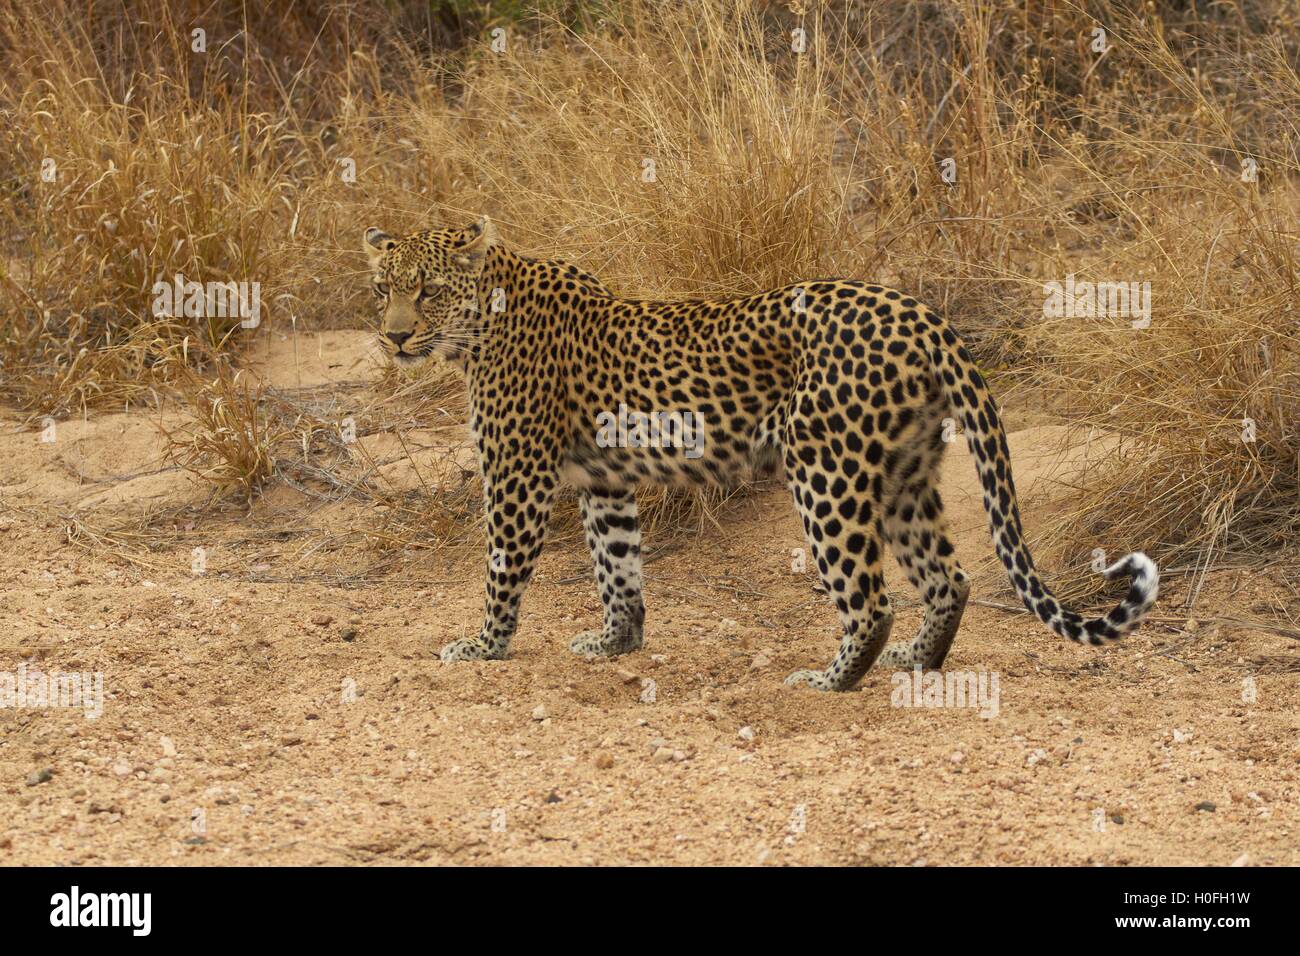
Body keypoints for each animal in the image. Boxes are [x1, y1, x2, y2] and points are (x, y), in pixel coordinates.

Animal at [363, 216, 1159, 691]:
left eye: (426, 292)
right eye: (380, 291)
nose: (393, 338)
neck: (483, 319)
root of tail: (921, 312)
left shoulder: (516, 476)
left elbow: (503, 567)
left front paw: (482, 645)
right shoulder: (606, 481)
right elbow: (617, 565)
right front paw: (618, 642)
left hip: (827, 471)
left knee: (871, 599)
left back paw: (831, 681)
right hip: (903, 475)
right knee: (949, 578)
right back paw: (916, 661)